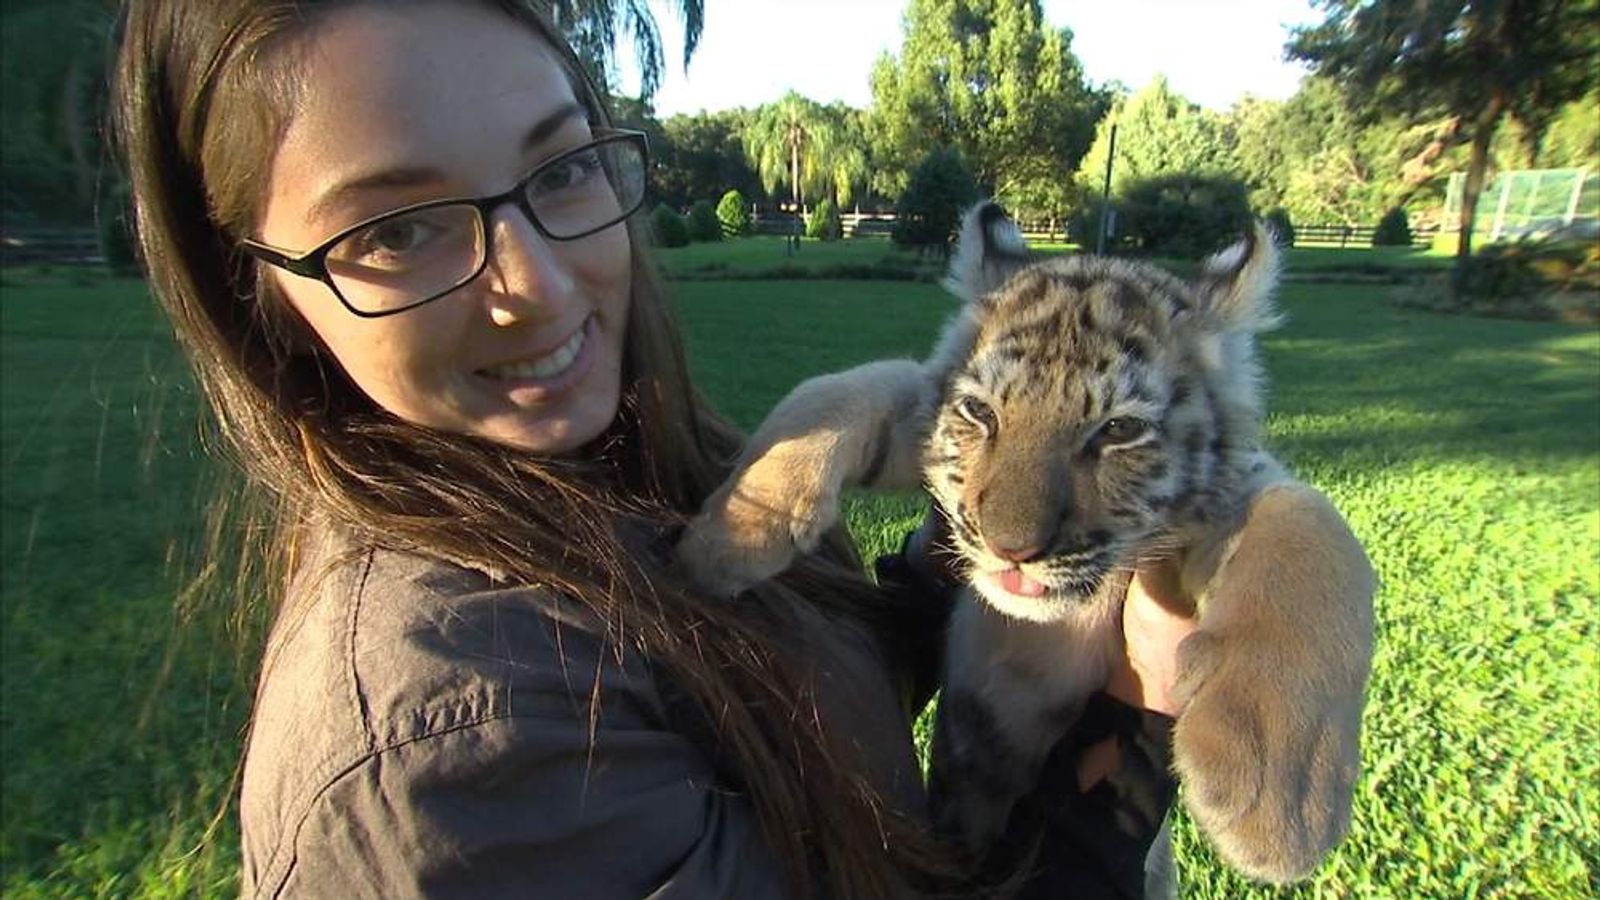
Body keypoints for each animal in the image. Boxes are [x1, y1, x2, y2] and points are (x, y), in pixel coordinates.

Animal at [674, 202, 1375, 893]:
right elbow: (843, 384)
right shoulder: (918, 410)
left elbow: (1309, 530)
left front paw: (1276, 802)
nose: (1010, 548)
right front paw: (725, 538)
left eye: (1118, 430)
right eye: (982, 413)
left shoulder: (1239, 493)